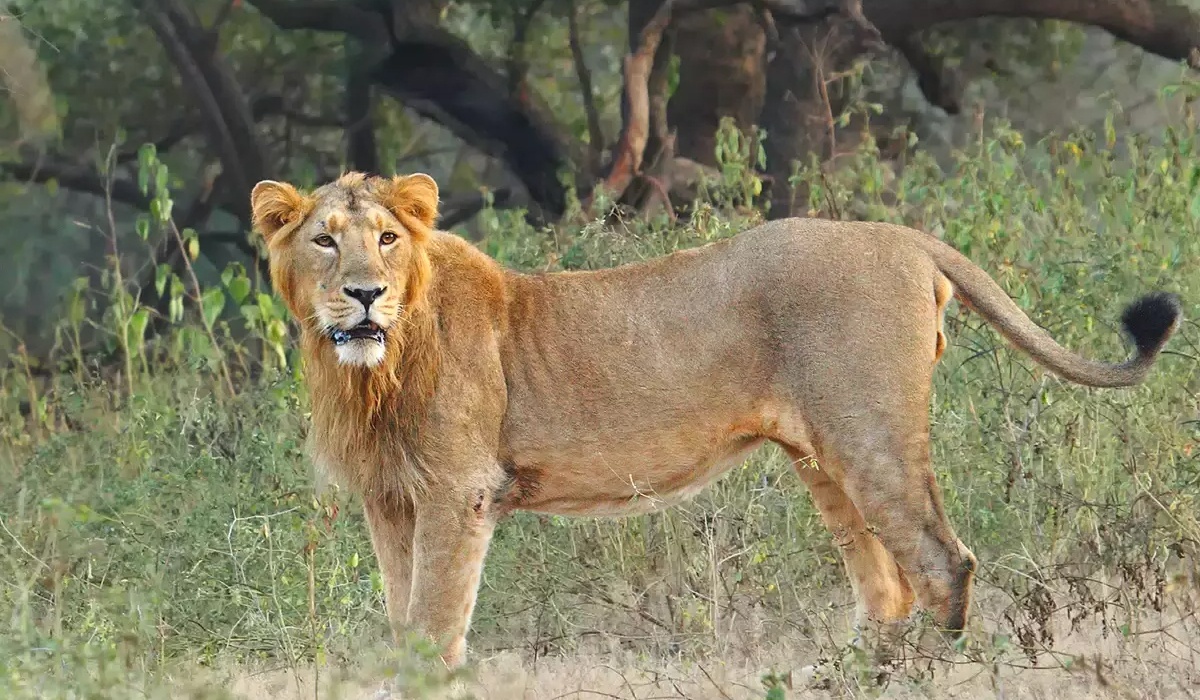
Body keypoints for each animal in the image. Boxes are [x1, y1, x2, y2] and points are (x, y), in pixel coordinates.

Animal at [250, 171, 1181, 669]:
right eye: (325, 241)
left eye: (386, 239)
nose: (365, 293)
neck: (370, 373)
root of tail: (903, 236)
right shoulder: (390, 500)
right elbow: (402, 619)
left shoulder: (460, 491)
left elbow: (434, 626)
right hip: (822, 459)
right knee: (887, 587)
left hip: (870, 434)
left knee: (942, 564)